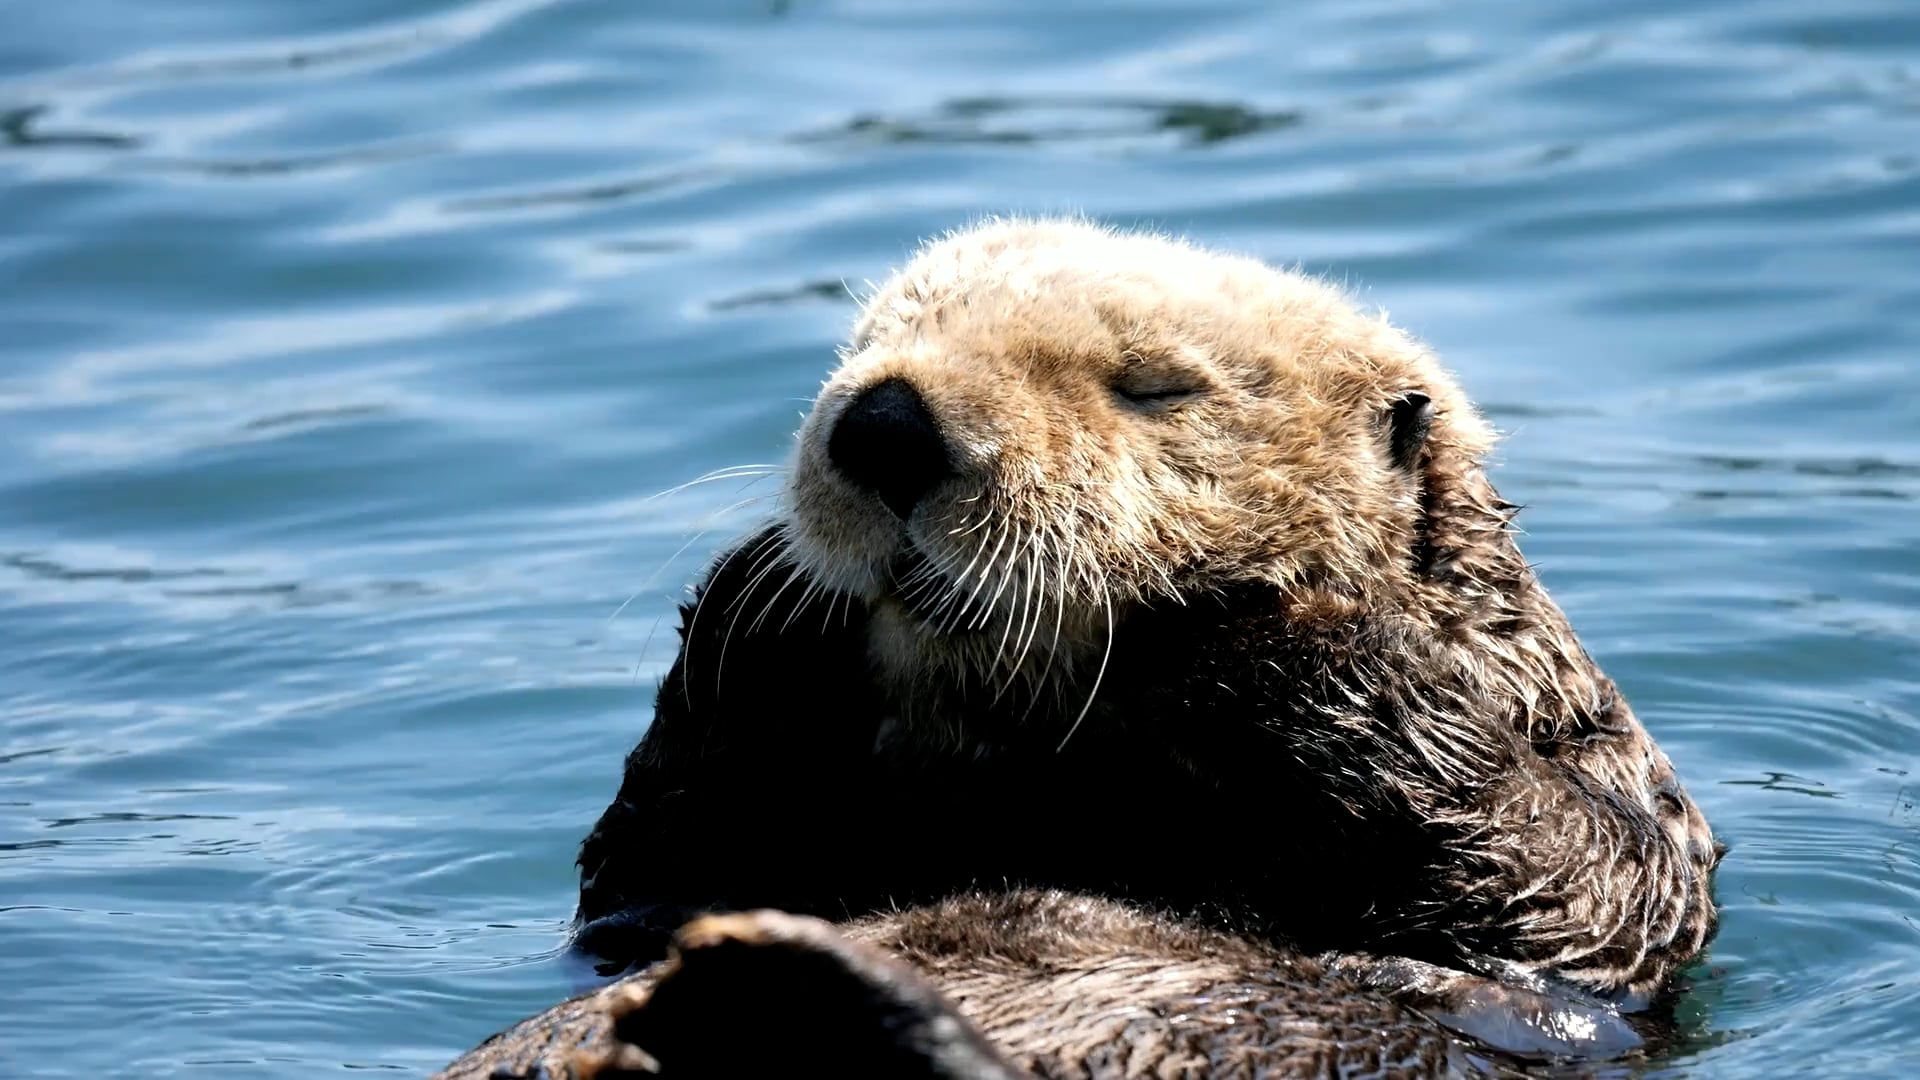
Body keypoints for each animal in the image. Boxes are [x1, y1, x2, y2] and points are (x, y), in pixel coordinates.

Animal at [436, 218, 1721, 1076]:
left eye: (1155, 387)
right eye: (875, 338)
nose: (884, 419)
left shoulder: (1585, 815)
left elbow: (1567, 873)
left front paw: (1249, 623)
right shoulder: (651, 904)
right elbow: (648, 872)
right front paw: (768, 602)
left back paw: (790, 999)